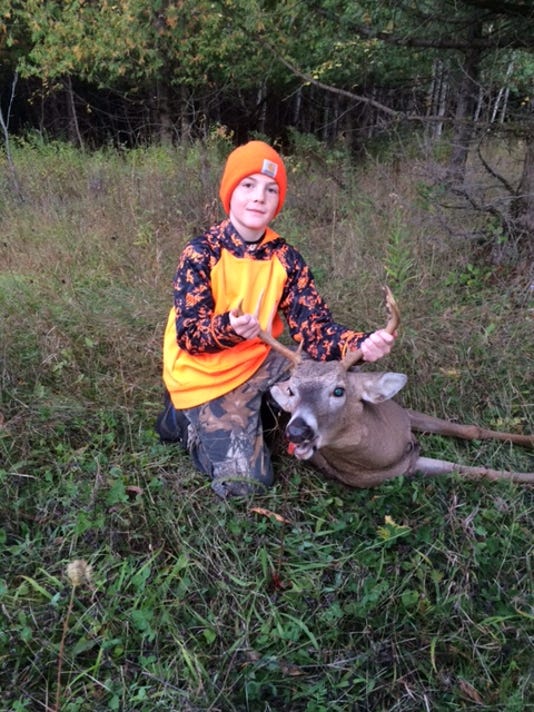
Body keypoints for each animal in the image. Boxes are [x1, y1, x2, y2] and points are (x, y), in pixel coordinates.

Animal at [253, 288, 534, 488]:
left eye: (339, 390)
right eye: (292, 391)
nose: (297, 431)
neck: (394, 448)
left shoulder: (403, 411)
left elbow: (472, 430)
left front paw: (529, 439)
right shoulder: (407, 469)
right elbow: (484, 473)